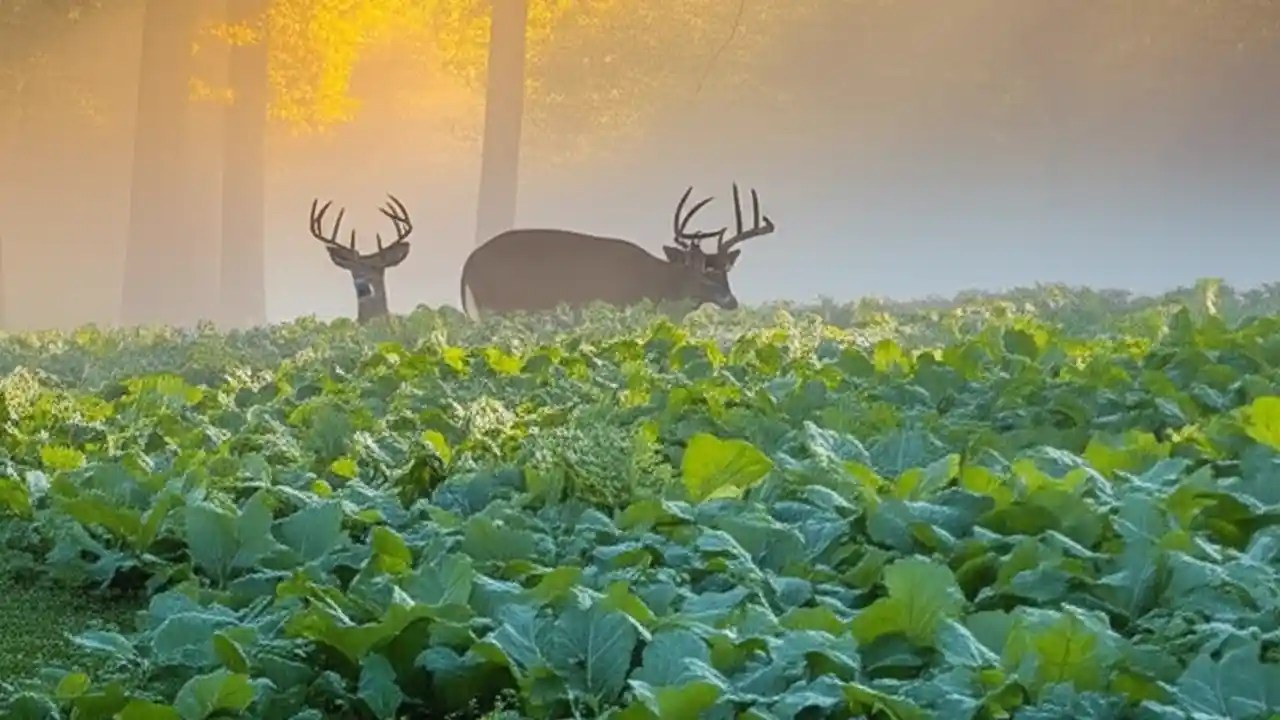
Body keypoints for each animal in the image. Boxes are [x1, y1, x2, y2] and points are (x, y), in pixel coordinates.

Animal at [458, 183, 775, 319]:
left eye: (725, 271)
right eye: (699, 273)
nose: (731, 301)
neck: (655, 285)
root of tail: (468, 263)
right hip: (499, 304)